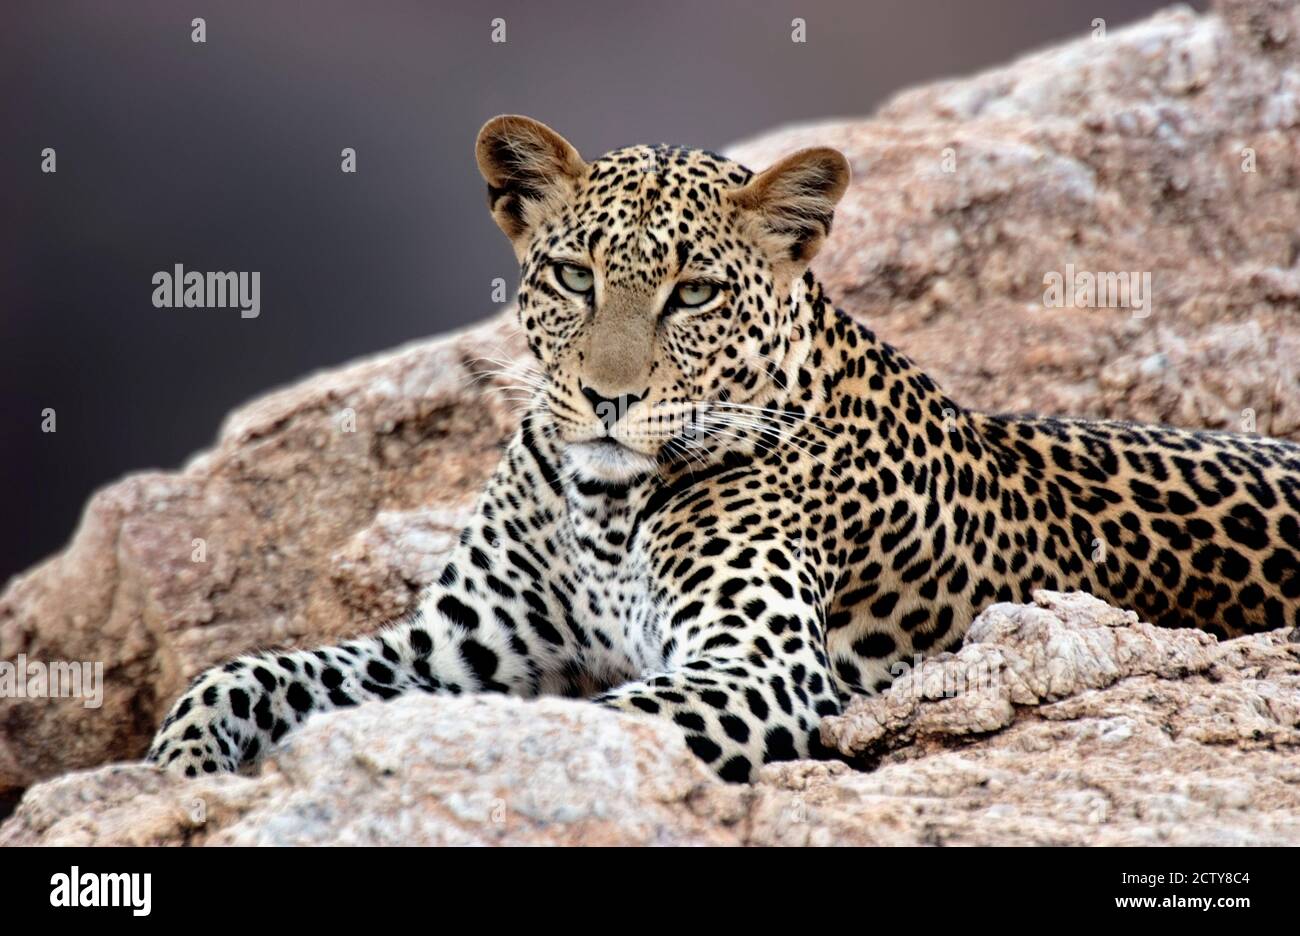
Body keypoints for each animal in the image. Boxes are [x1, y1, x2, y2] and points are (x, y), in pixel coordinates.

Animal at [149, 115, 1300, 783]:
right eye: (574, 277)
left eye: (693, 293)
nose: (607, 399)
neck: (603, 507)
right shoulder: (453, 647)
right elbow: (242, 672)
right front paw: (177, 767)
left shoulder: (760, 670)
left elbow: (600, 722)